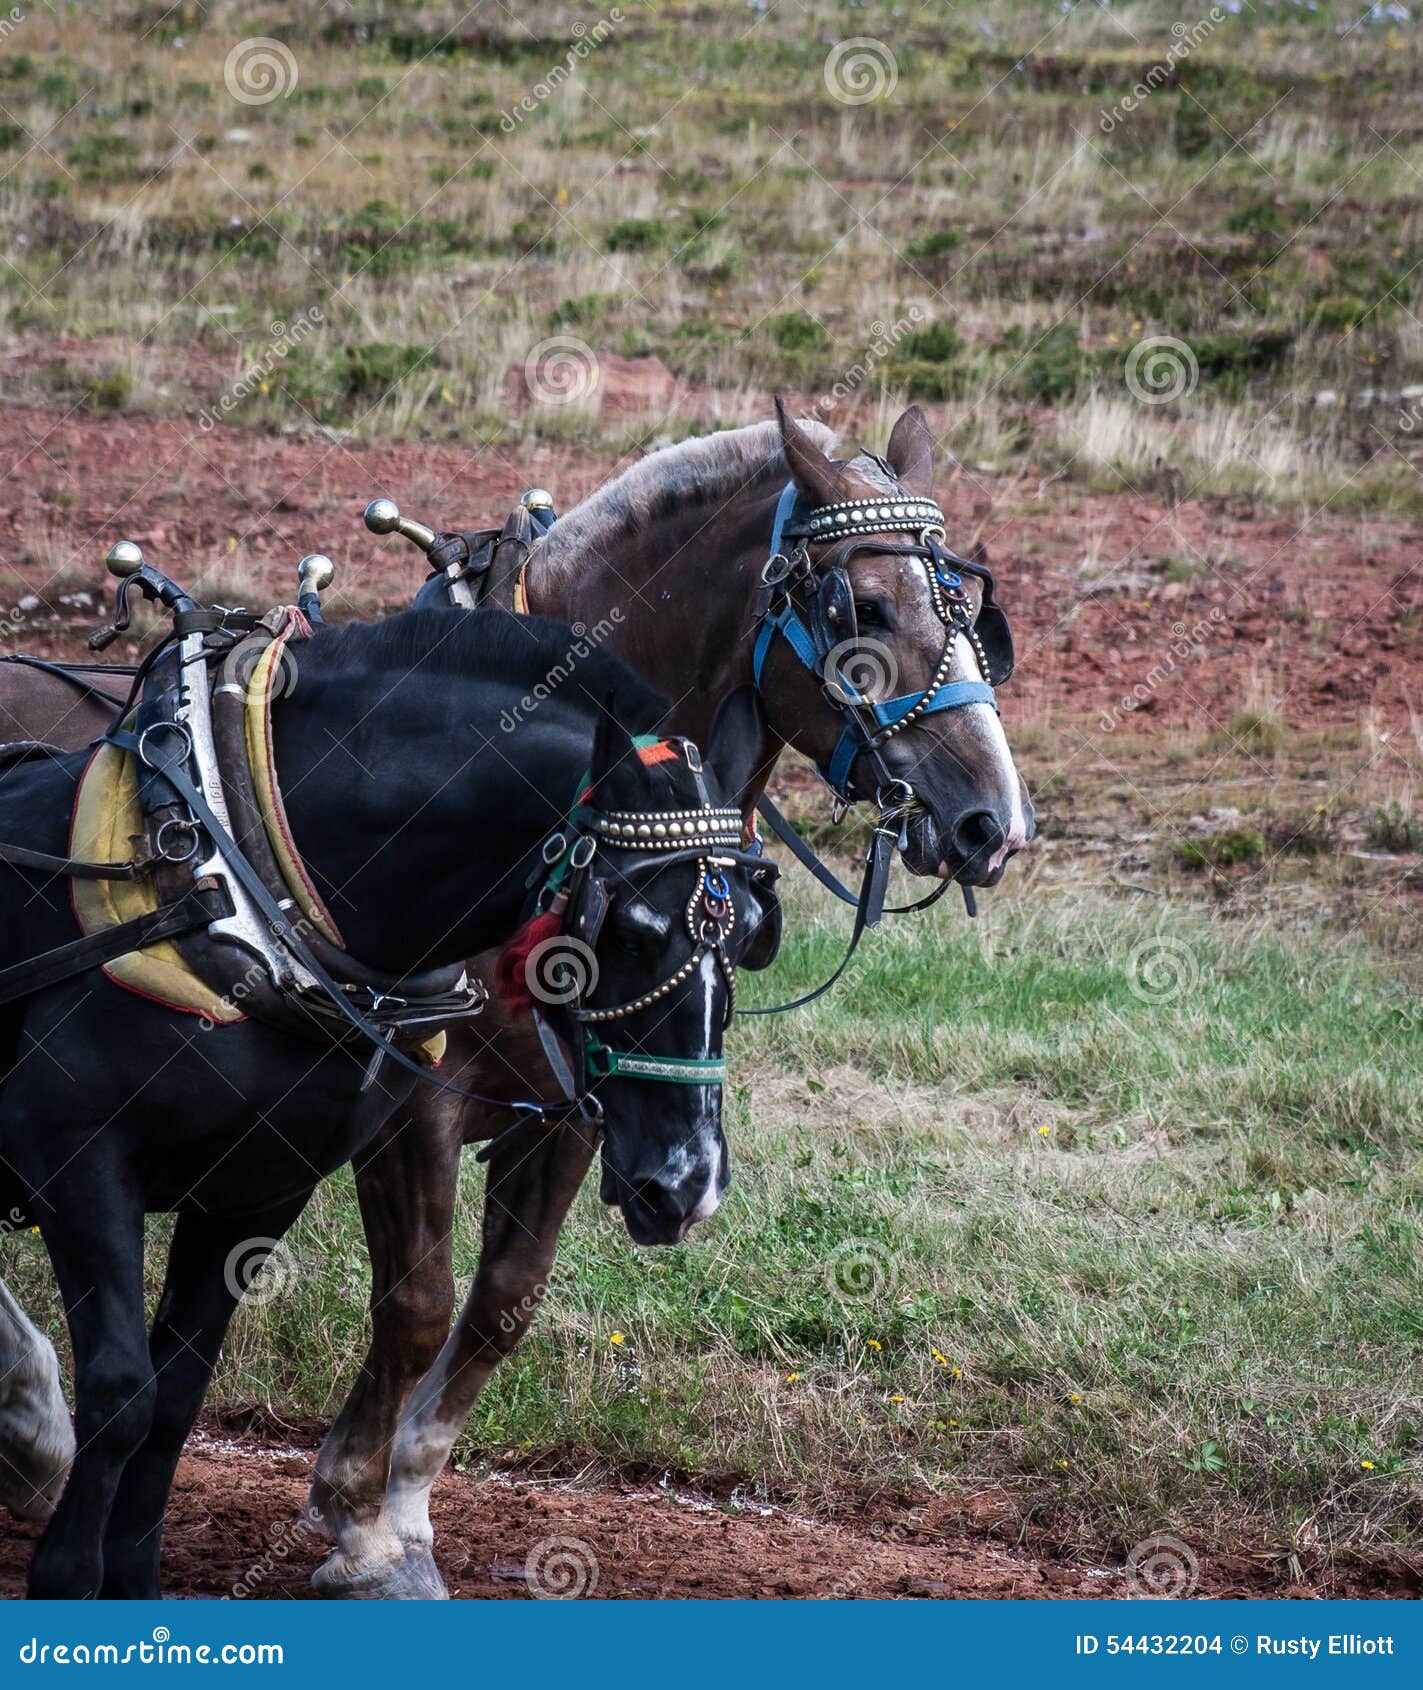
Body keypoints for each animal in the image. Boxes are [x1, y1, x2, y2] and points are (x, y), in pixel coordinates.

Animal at [0, 605, 778, 1598]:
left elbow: (177, 1395)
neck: (229, 884)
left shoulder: (260, 1190)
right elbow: (123, 1391)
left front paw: (136, 1574)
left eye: (750, 934)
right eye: (631, 931)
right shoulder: (72, 1154)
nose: (687, 1184)